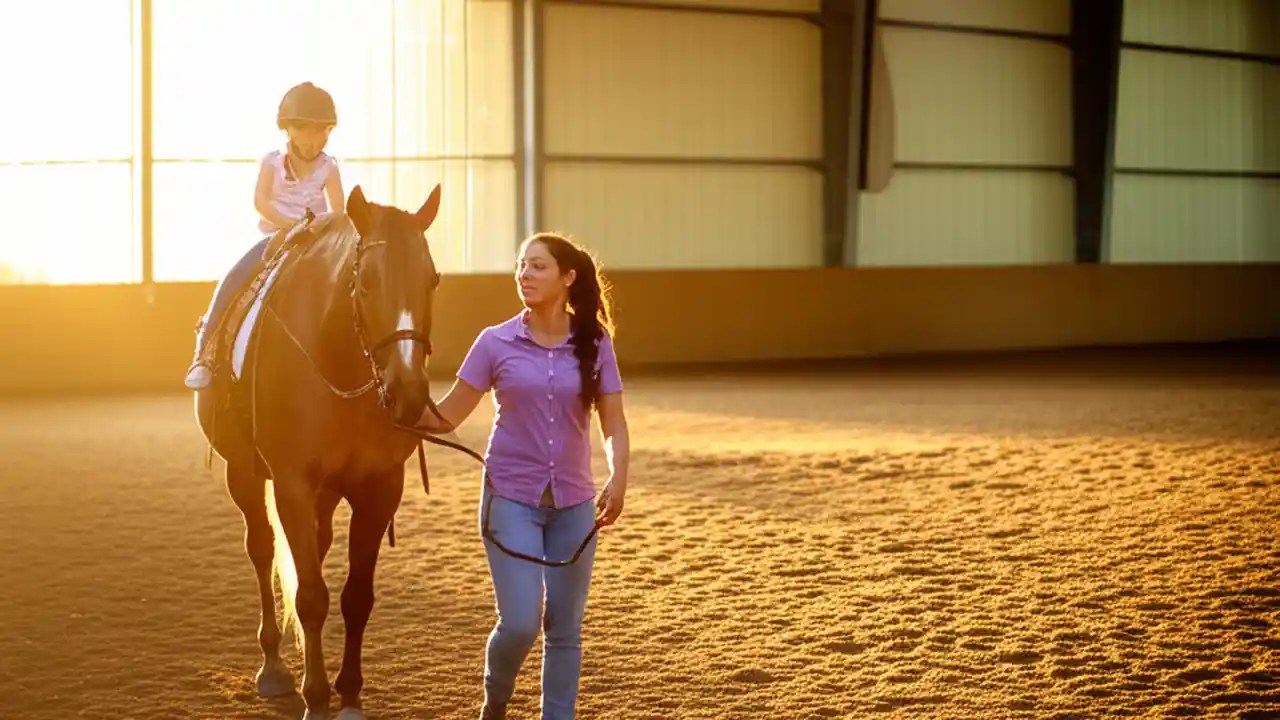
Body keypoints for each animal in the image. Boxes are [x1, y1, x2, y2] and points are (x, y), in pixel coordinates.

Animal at [195, 184, 456, 720]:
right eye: (367, 282)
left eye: (433, 279)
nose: (408, 393)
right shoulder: (292, 484)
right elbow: (311, 596)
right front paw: (316, 698)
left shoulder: (379, 490)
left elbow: (357, 597)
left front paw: (350, 693)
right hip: (243, 474)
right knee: (262, 550)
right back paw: (273, 666)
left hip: (327, 494)